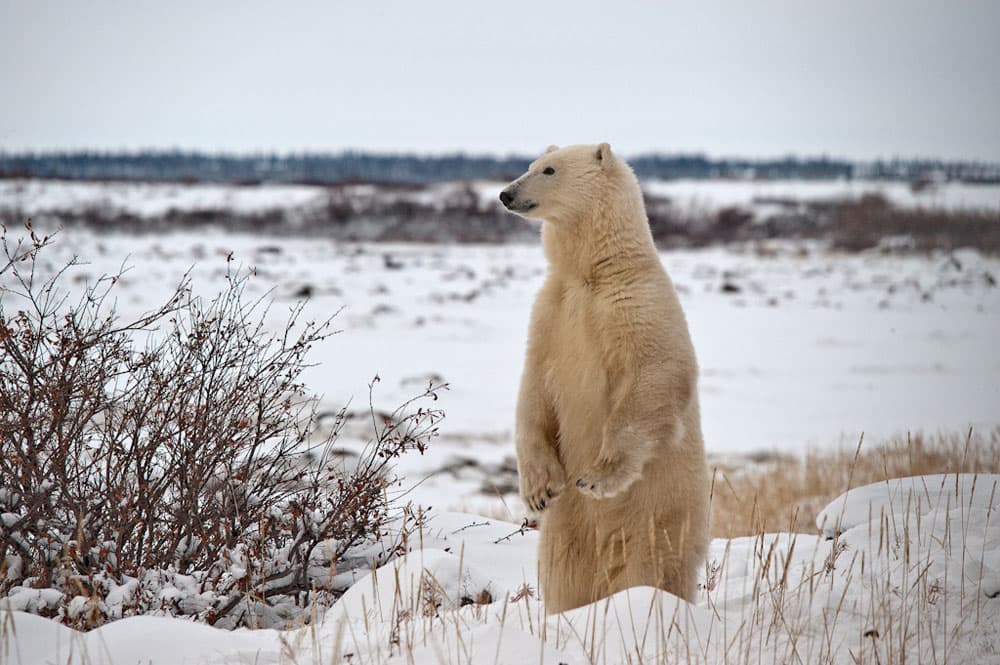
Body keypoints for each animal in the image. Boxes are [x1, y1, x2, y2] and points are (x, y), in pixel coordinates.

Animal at [499, 143, 710, 614]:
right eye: (530, 165)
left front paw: (596, 477)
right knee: (563, 572)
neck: (596, 271)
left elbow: (654, 373)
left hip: (659, 508)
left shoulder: (638, 303)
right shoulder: (551, 311)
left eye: (549, 170)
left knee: (649, 561)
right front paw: (539, 488)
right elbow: (533, 389)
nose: (506, 194)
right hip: (567, 527)